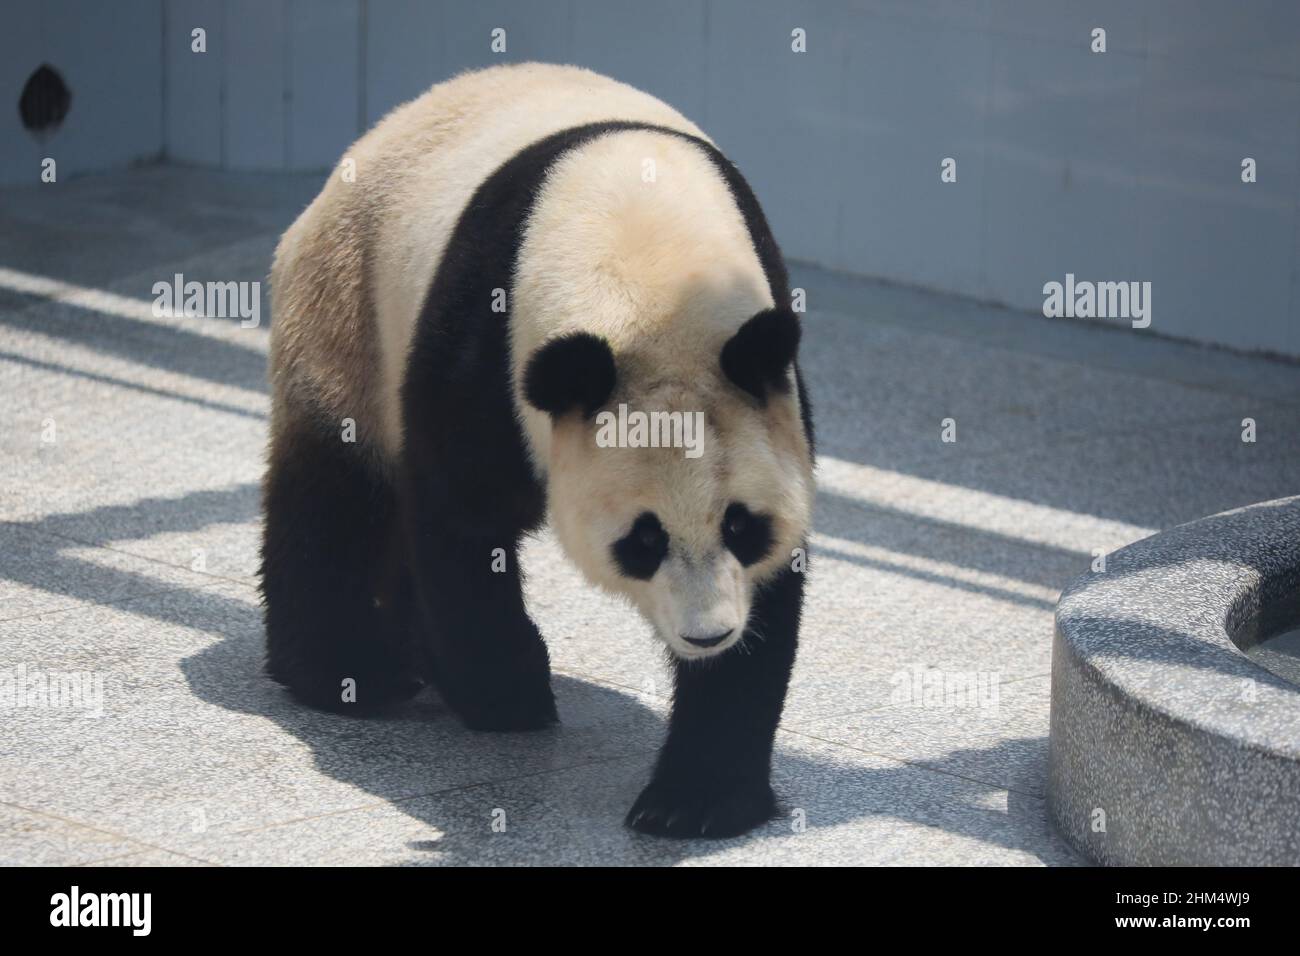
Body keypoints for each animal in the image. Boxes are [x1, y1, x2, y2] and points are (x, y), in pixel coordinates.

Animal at [261, 63, 815, 838]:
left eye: (741, 525)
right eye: (643, 539)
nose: (707, 635)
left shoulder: (766, 389)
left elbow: (773, 591)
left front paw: (696, 802)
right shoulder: (482, 343)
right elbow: (460, 522)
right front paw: (508, 691)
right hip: (349, 311)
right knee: (335, 490)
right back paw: (354, 672)